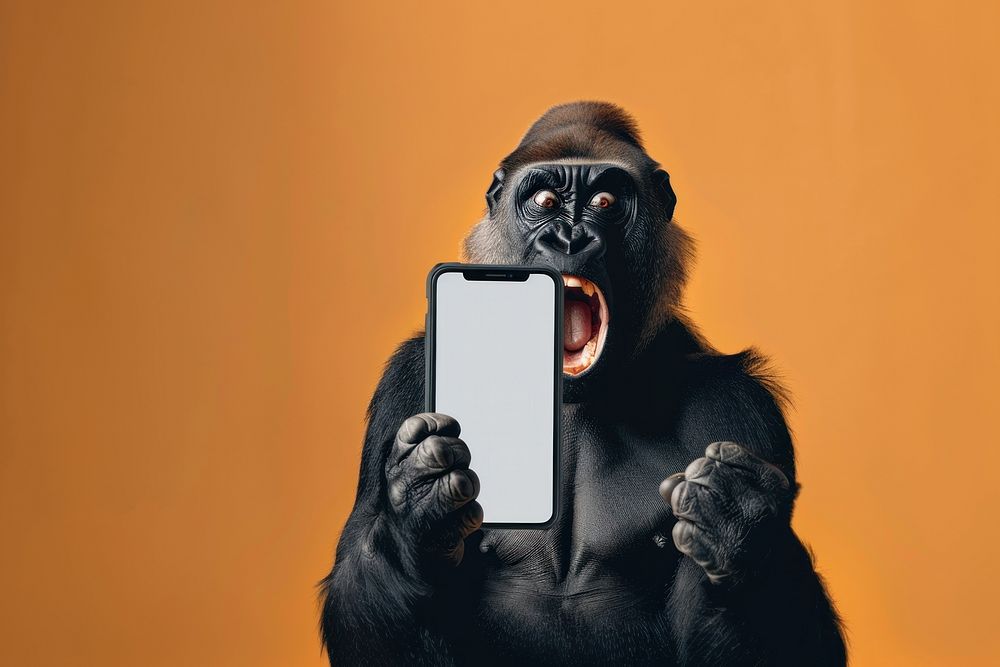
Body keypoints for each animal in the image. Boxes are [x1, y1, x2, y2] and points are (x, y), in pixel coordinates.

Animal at [320, 101, 846, 665]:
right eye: (545, 202)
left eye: (605, 202)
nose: (569, 239)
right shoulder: (406, 381)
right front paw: (415, 510)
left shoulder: (738, 405)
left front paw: (742, 537)